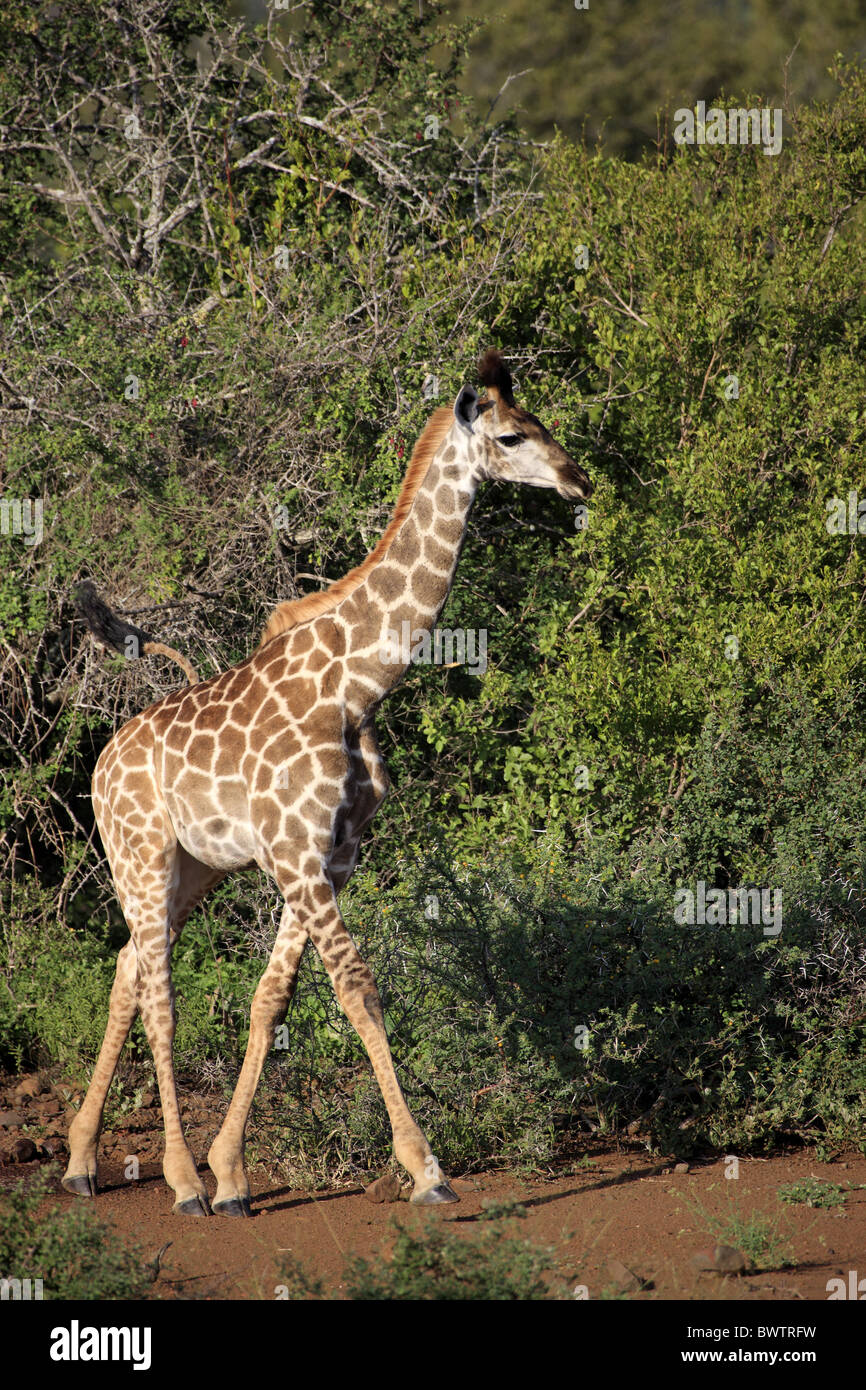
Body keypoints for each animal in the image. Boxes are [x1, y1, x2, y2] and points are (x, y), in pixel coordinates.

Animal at [63, 349, 592, 1217]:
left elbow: (269, 1000)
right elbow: (358, 990)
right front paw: (426, 1168)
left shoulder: (324, 859)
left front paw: (234, 1173)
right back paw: (177, 1181)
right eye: (513, 436)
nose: (579, 480)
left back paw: (81, 1161)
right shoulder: (298, 856)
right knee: (160, 1000)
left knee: (127, 971)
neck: (358, 684)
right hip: (138, 854)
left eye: (543, 422)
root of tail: (102, 763)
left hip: (192, 869)